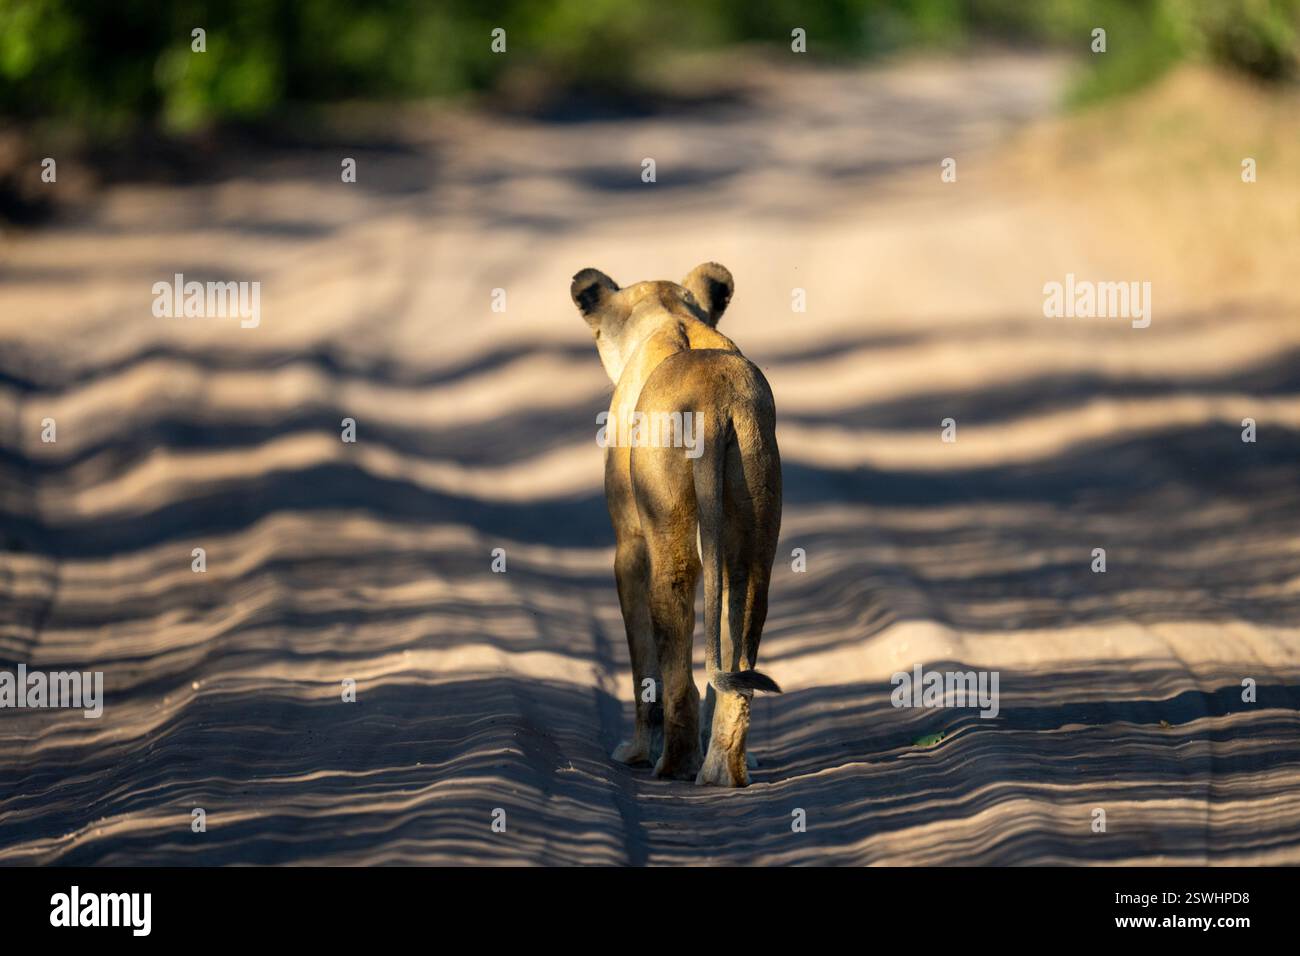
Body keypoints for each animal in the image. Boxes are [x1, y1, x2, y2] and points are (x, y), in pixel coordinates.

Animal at [570, 262, 783, 787]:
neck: (669, 314)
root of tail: (716, 399)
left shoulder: (628, 544)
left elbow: (643, 661)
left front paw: (637, 750)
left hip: (666, 525)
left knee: (675, 633)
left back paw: (674, 763)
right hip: (753, 527)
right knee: (739, 647)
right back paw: (723, 767)